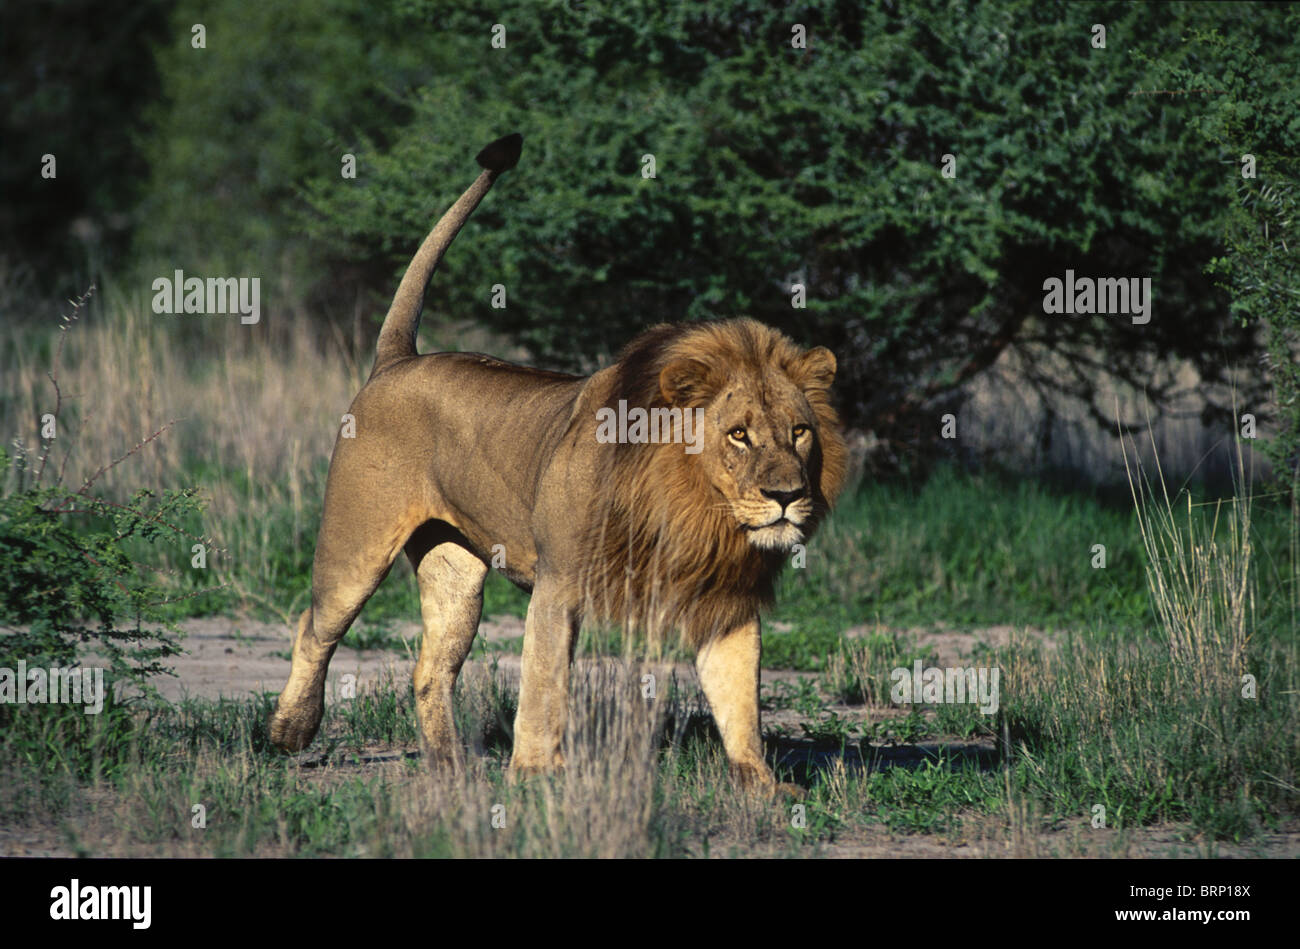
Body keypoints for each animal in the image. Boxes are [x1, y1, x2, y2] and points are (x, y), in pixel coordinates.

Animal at [268, 132, 847, 794]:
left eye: (799, 432)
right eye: (740, 436)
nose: (787, 496)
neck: (694, 508)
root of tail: (398, 360)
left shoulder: (728, 596)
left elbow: (740, 699)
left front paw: (763, 785)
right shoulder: (561, 579)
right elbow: (545, 682)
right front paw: (537, 775)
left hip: (455, 573)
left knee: (431, 668)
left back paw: (451, 768)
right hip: (356, 548)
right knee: (315, 627)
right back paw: (290, 731)